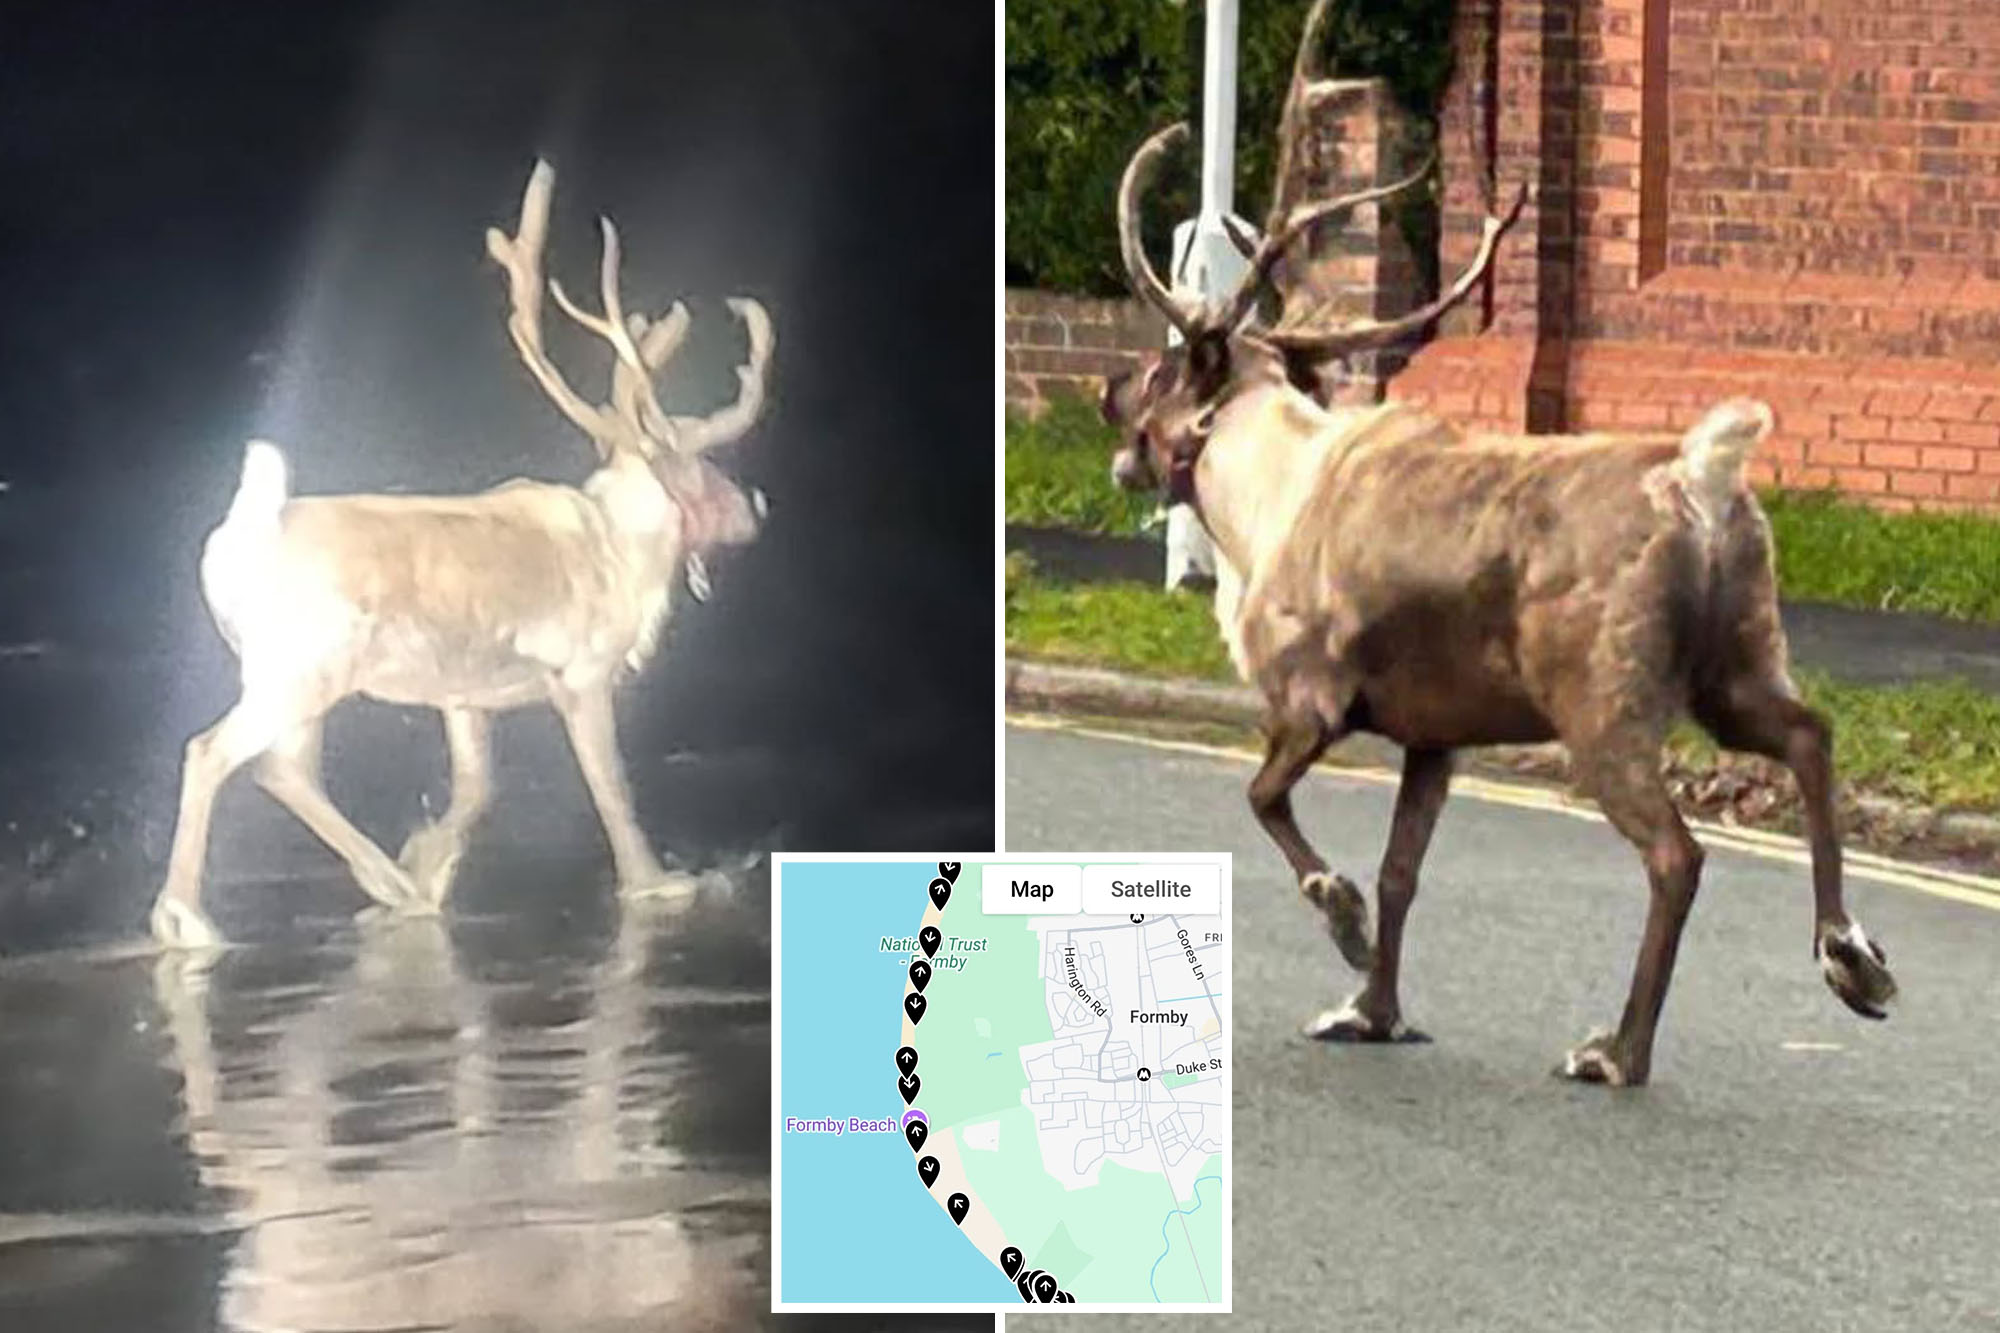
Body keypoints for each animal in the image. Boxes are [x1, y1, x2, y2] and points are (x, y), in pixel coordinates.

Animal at [148, 159, 774, 949]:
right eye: (707, 465)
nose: (754, 509)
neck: (626, 550)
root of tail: (233, 541)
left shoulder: (464, 694)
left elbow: (478, 789)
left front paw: (429, 858)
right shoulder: (583, 673)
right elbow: (613, 787)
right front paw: (656, 881)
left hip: (296, 677)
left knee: (283, 771)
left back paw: (392, 882)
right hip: (302, 669)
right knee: (216, 753)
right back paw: (188, 917)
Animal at [1098, 0, 1896, 1087]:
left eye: (1164, 365)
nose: (1105, 392)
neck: (1255, 498)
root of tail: (1702, 479)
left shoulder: (1311, 698)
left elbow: (1265, 802)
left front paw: (1341, 923)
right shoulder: (1434, 733)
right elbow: (1401, 870)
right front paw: (1372, 1008)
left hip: (1602, 701)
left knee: (1676, 853)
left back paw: (1619, 1049)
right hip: (1734, 663)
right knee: (1811, 735)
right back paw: (1850, 956)